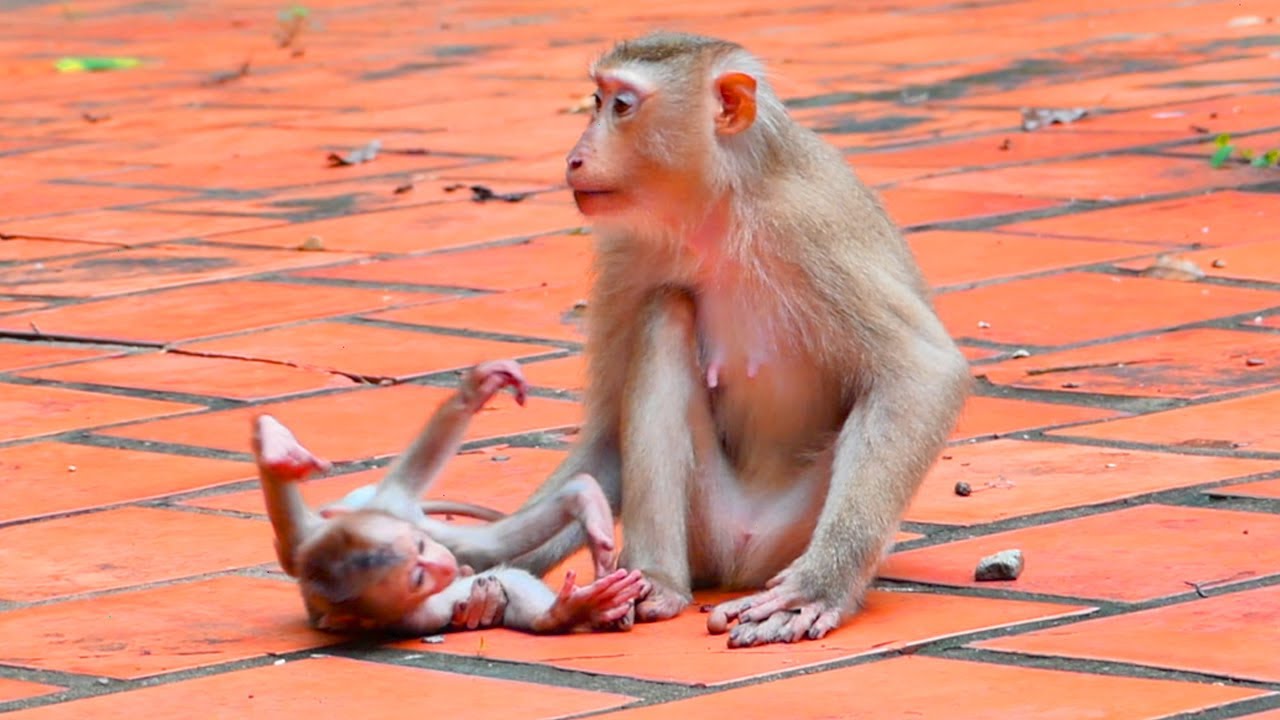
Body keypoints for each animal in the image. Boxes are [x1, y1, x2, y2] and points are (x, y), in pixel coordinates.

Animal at [253, 359, 645, 636]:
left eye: (419, 547)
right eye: (417, 577)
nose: (443, 566)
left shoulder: (390, 511)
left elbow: (413, 474)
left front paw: (476, 390)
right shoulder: (414, 614)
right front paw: (572, 611)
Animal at [500, 32, 971, 648]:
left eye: (621, 105)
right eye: (595, 99)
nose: (574, 157)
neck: (718, 208)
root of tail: (739, 556)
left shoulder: (811, 228)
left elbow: (923, 371)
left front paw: (820, 586)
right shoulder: (626, 252)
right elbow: (604, 442)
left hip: (789, 532)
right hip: (708, 526)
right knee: (665, 310)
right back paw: (657, 581)